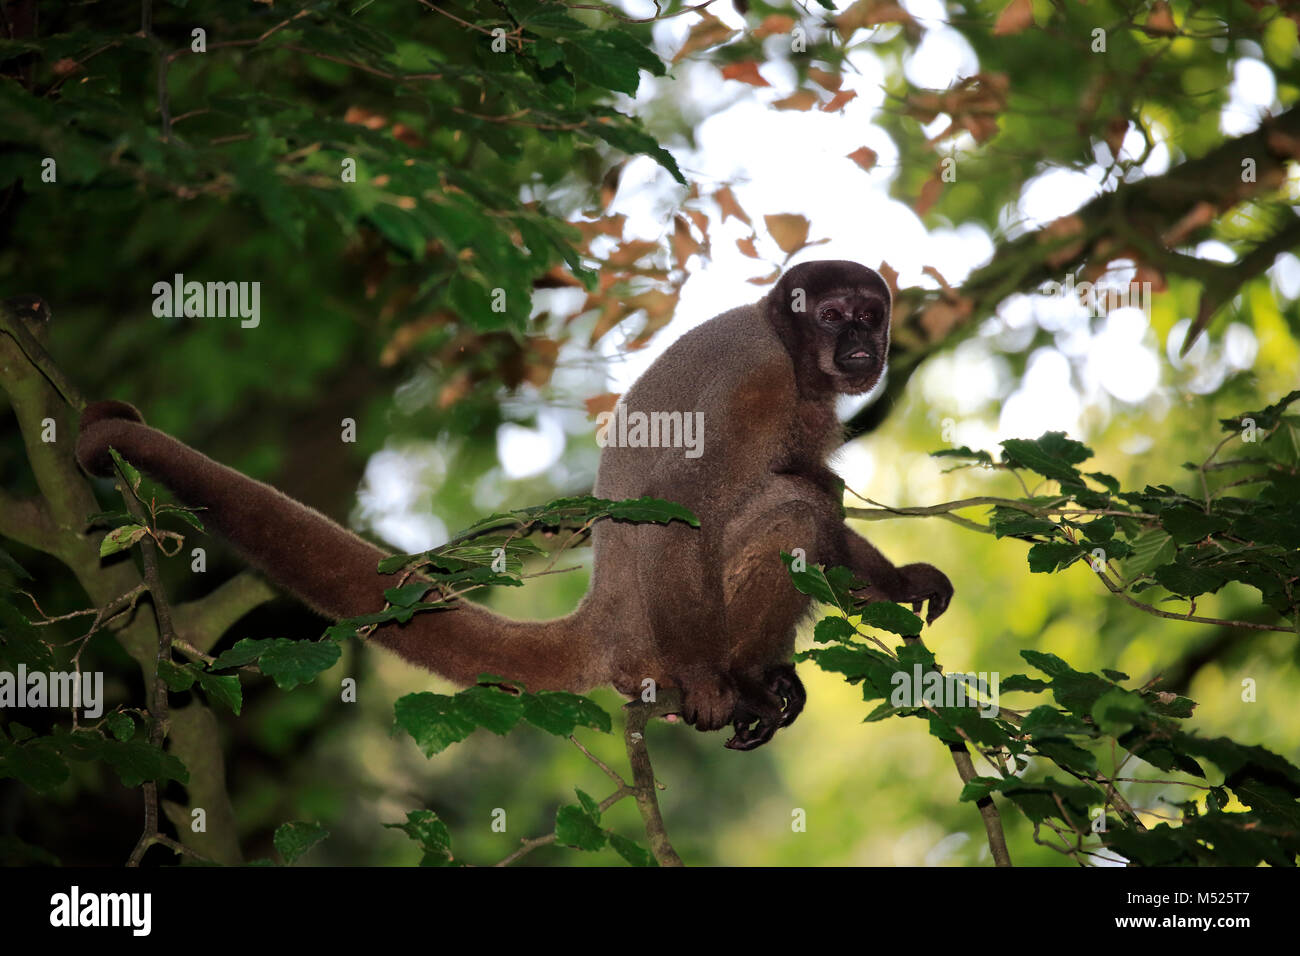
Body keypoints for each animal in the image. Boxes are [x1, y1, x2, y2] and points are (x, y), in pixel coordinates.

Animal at [76, 260, 952, 750]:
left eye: (870, 316)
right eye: (834, 316)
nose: (861, 347)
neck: (793, 355)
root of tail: (606, 619)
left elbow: (821, 492)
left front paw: (899, 582)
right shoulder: (756, 382)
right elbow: (682, 503)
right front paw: (712, 681)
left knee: (809, 493)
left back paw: (767, 675)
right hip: (656, 638)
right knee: (794, 510)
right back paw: (736, 676)